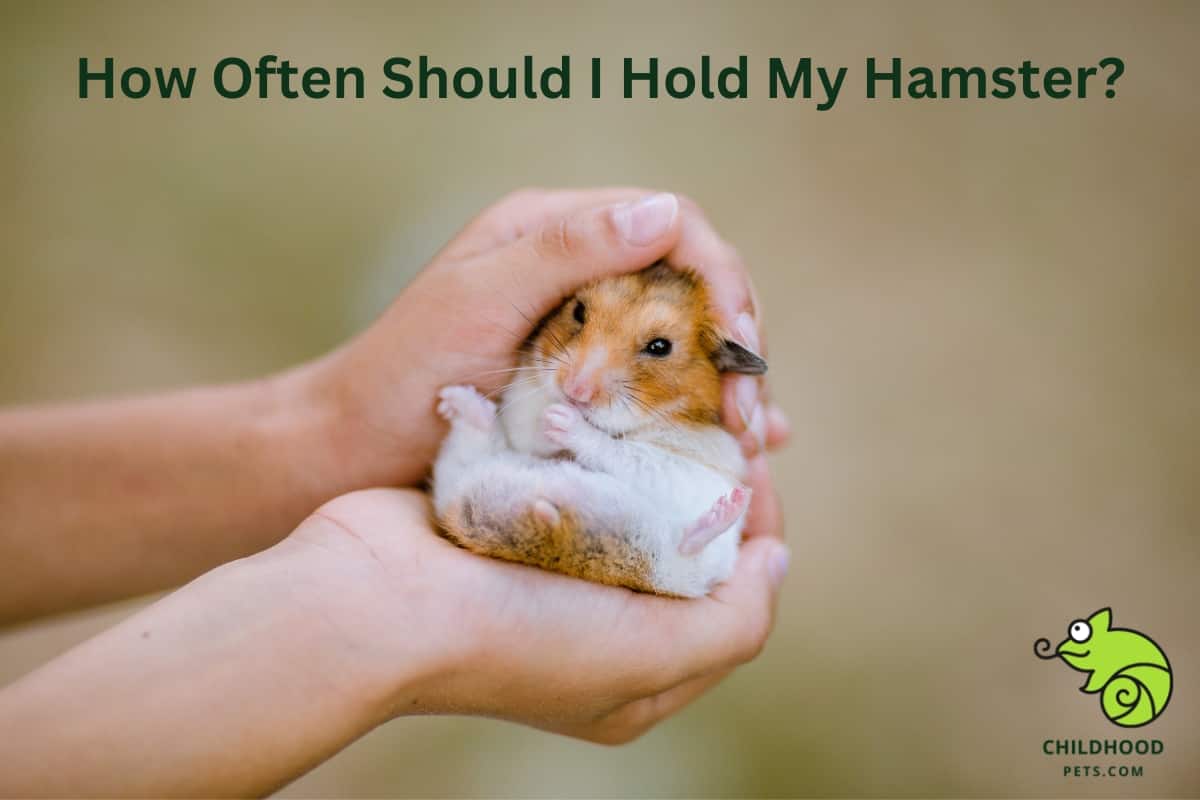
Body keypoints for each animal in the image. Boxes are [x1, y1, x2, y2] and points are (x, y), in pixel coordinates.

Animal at [431, 262, 767, 597]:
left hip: (687, 563)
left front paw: (560, 419)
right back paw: (457, 402)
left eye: (660, 347)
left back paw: (730, 506)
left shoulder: (684, 464)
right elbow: (530, 431)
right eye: (578, 311)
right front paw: (550, 418)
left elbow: (621, 450)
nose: (573, 391)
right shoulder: (520, 406)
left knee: (689, 547)